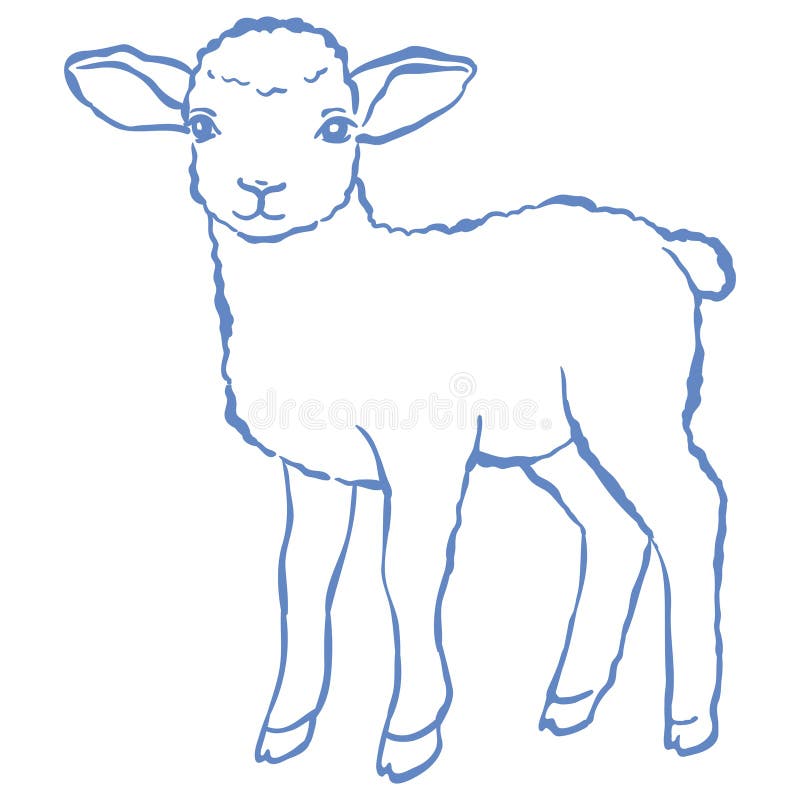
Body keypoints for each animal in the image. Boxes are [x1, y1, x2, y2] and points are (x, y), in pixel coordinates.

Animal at [64, 15, 735, 783]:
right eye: (200, 123)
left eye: (337, 127)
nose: (260, 188)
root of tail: (672, 246)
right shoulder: (314, 466)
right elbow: (301, 577)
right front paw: (285, 727)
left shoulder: (425, 451)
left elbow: (405, 573)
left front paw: (409, 735)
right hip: (556, 438)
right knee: (615, 526)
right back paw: (571, 700)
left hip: (632, 403)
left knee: (690, 507)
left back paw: (689, 720)